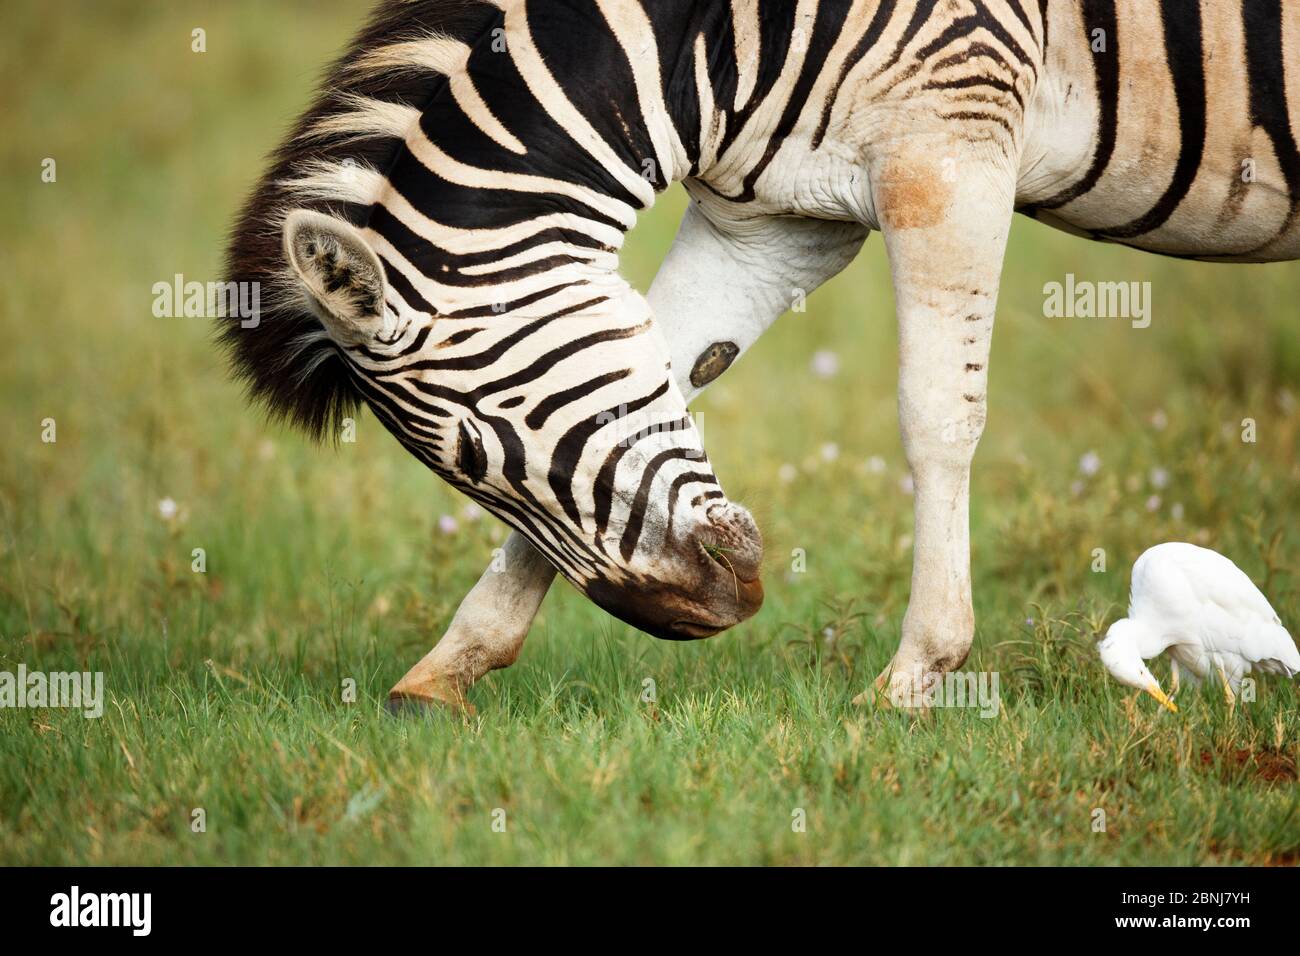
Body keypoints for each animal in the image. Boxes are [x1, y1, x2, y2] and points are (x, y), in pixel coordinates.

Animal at [224, 0, 1300, 712]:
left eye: (477, 455)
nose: (700, 617)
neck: (712, 40)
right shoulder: (775, 219)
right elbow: (671, 364)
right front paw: (448, 668)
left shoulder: (951, 140)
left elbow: (936, 416)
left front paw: (917, 674)